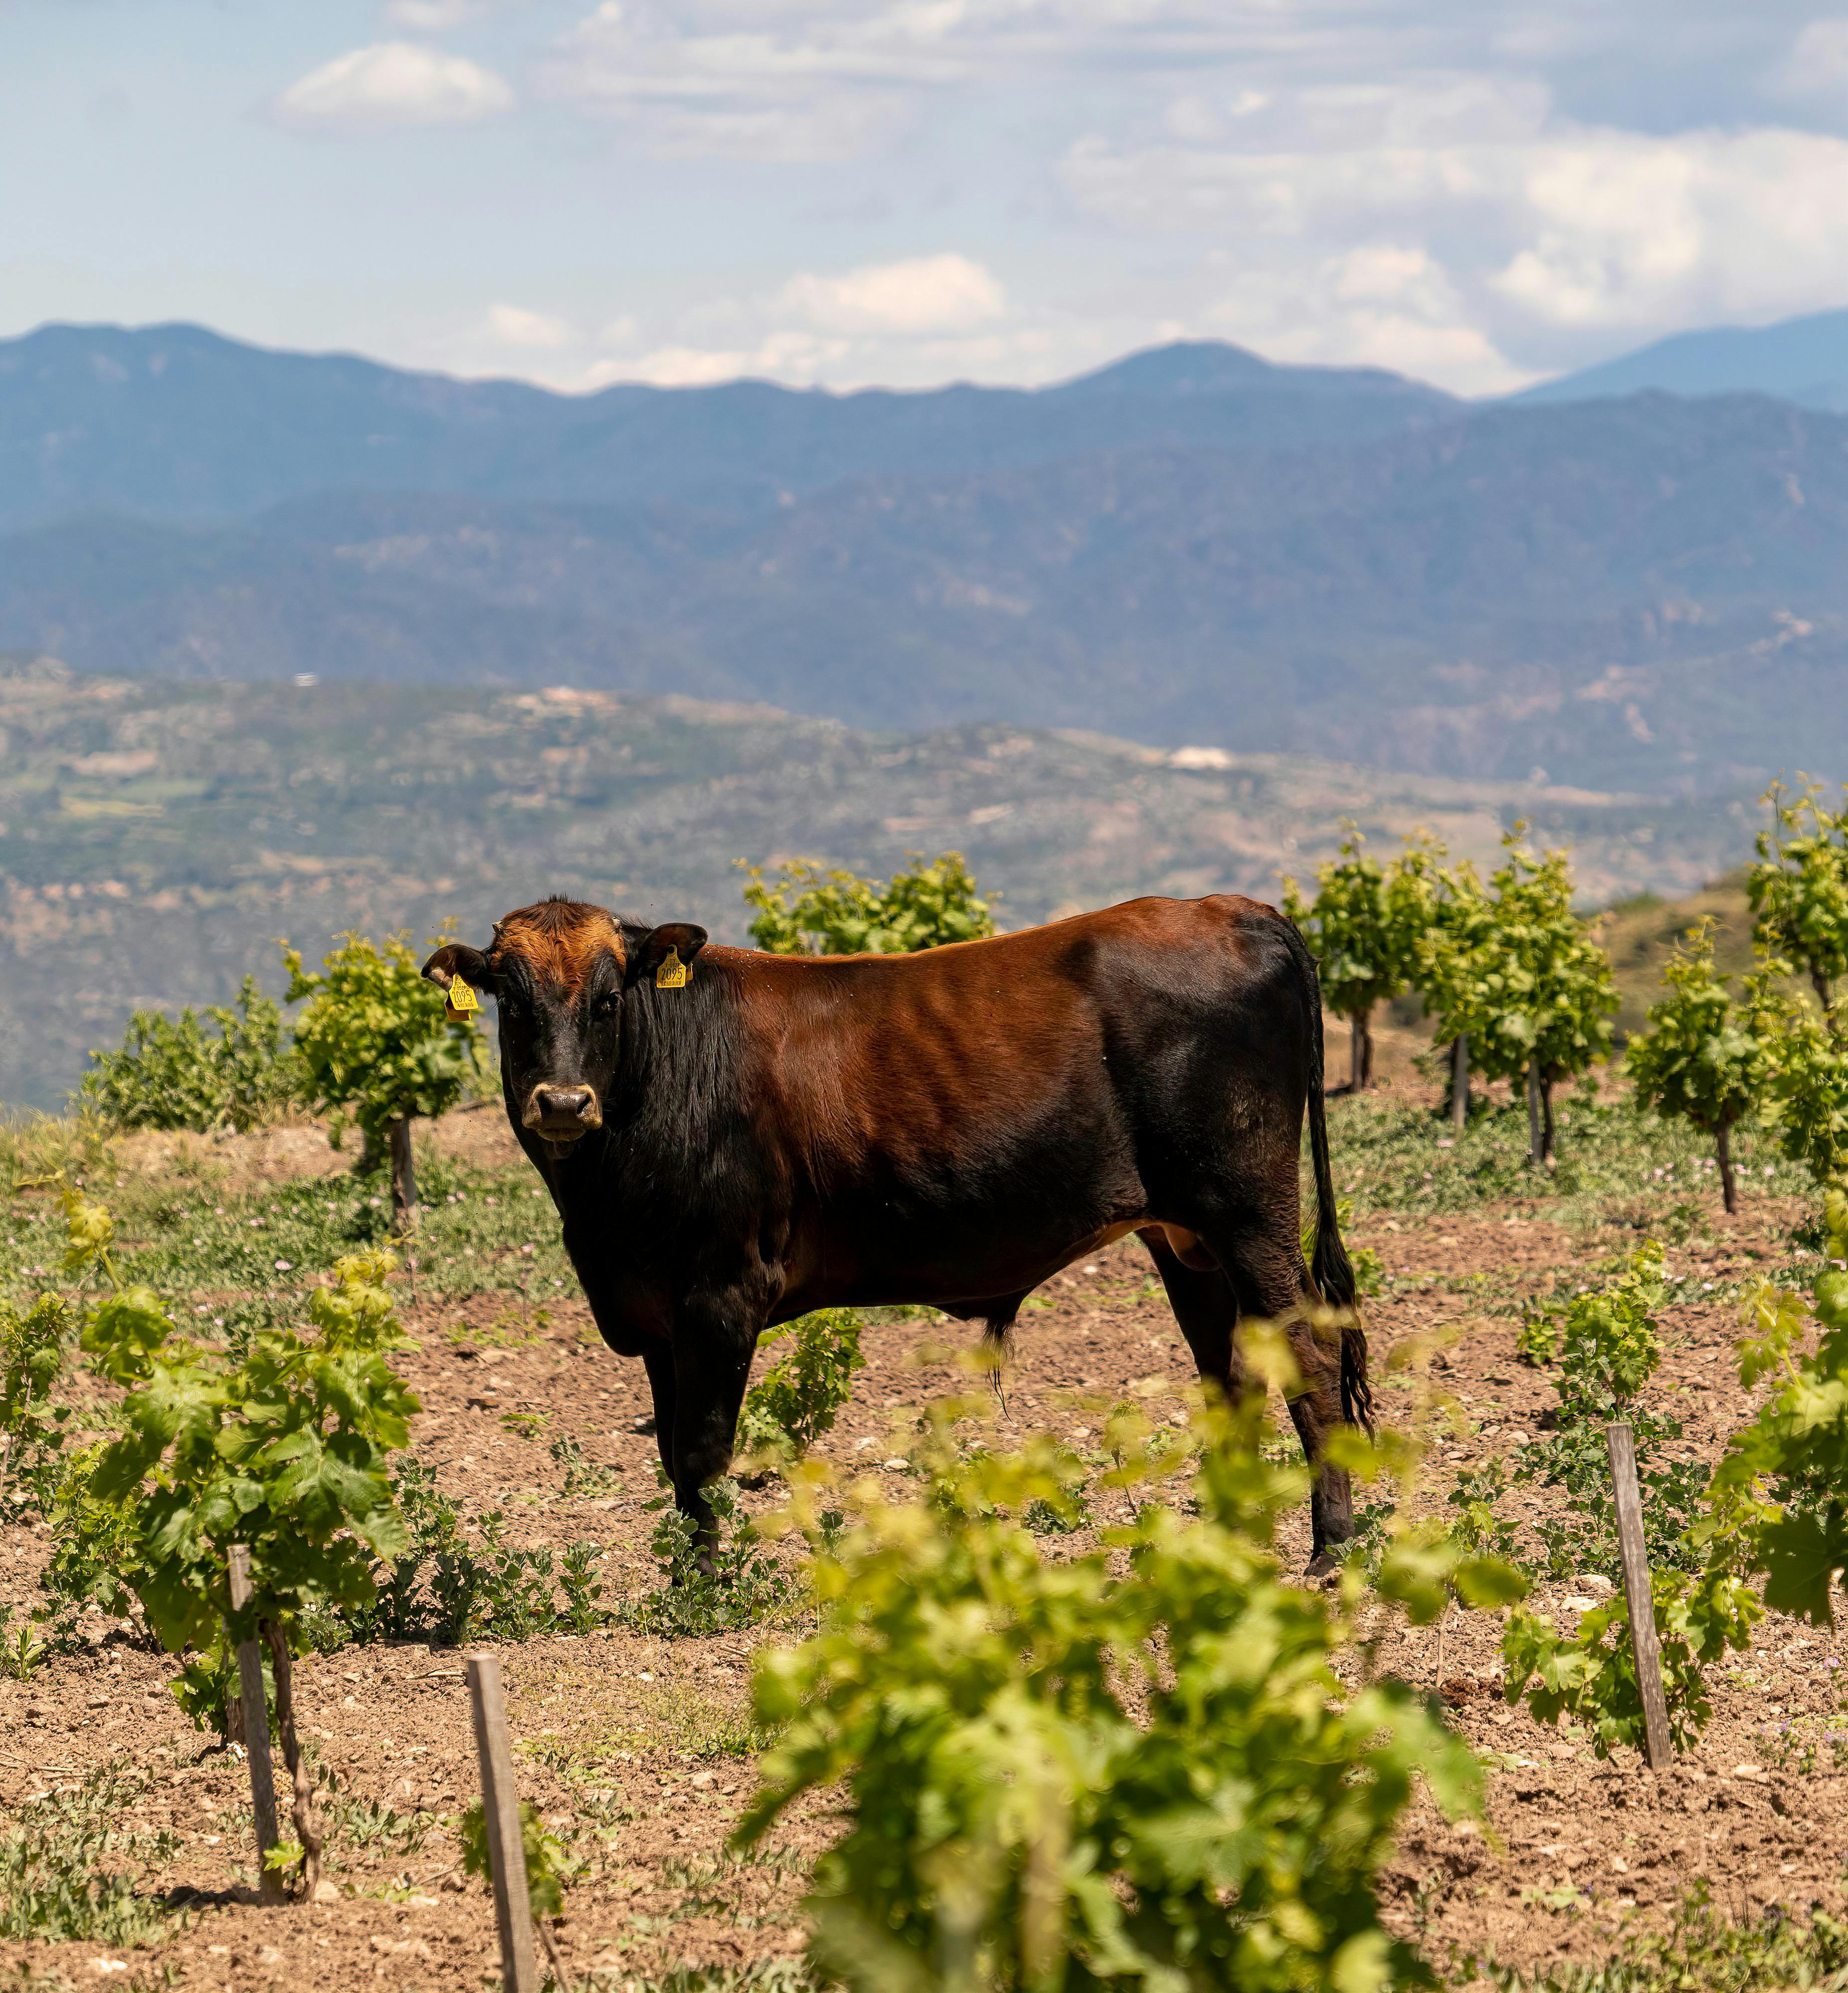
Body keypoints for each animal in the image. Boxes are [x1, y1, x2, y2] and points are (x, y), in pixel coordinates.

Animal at [422, 892, 1368, 1571]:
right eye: (510, 1000)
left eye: (610, 997)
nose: (562, 1102)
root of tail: (1232, 907)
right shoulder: (654, 1310)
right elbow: (671, 1456)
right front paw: (686, 1570)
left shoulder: (720, 1292)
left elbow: (701, 1451)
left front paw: (708, 1587)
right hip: (1185, 1237)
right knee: (1229, 1374)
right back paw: (1226, 1537)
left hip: (1248, 1213)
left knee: (1311, 1355)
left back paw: (1329, 1544)